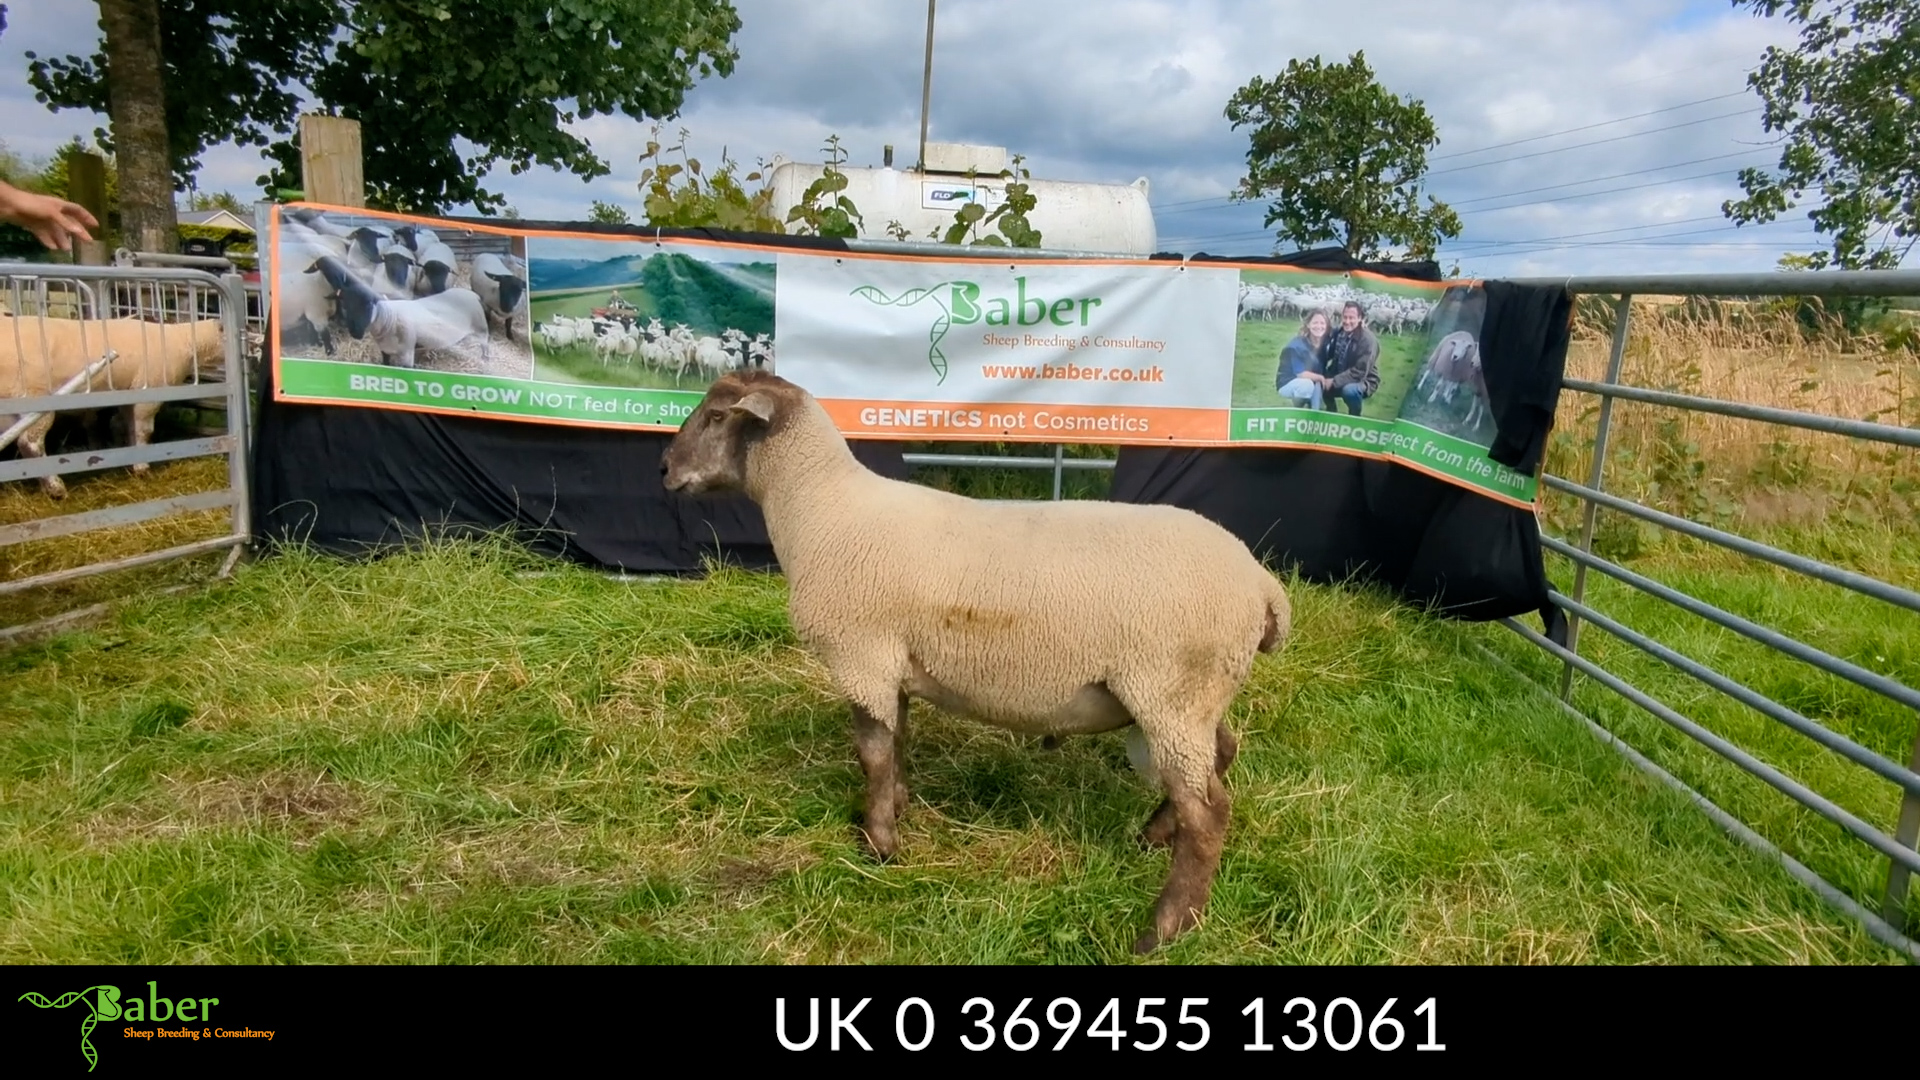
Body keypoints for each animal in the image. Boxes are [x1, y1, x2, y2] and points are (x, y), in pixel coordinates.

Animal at [2, 316, 226, 499]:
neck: (184, 340)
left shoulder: (129, 392)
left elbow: (124, 426)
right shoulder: (148, 392)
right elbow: (143, 431)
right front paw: (142, 468)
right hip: (35, 397)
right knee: (30, 443)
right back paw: (55, 487)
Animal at [332, 278, 490, 369]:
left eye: (369, 305)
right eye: (346, 305)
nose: (355, 331)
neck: (388, 319)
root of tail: (472, 294)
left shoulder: (407, 352)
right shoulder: (384, 349)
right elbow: (385, 363)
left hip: (481, 327)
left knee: (485, 343)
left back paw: (485, 358)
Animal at [660, 371, 1292, 953]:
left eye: (716, 416)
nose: (664, 469)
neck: (819, 509)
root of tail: (1263, 587)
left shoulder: (861, 657)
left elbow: (871, 755)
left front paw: (879, 844)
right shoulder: (891, 665)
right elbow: (896, 742)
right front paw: (898, 806)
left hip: (1170, 693)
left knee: (1209, 815)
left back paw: (1164, 929)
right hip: (1194, 697)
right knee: (1221, 757)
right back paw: (1155, 834)